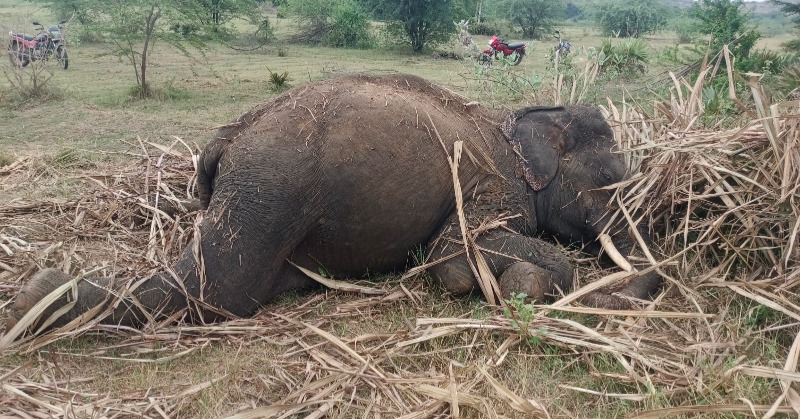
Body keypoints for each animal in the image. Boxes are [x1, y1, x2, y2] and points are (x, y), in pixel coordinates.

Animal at [5, 74, 663, 334]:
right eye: (612, 176)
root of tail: (227, 139)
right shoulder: (486, 186)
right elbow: (453, 249)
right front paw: (507, 281)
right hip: (270, 188)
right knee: (217, 292)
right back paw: (42, 297)